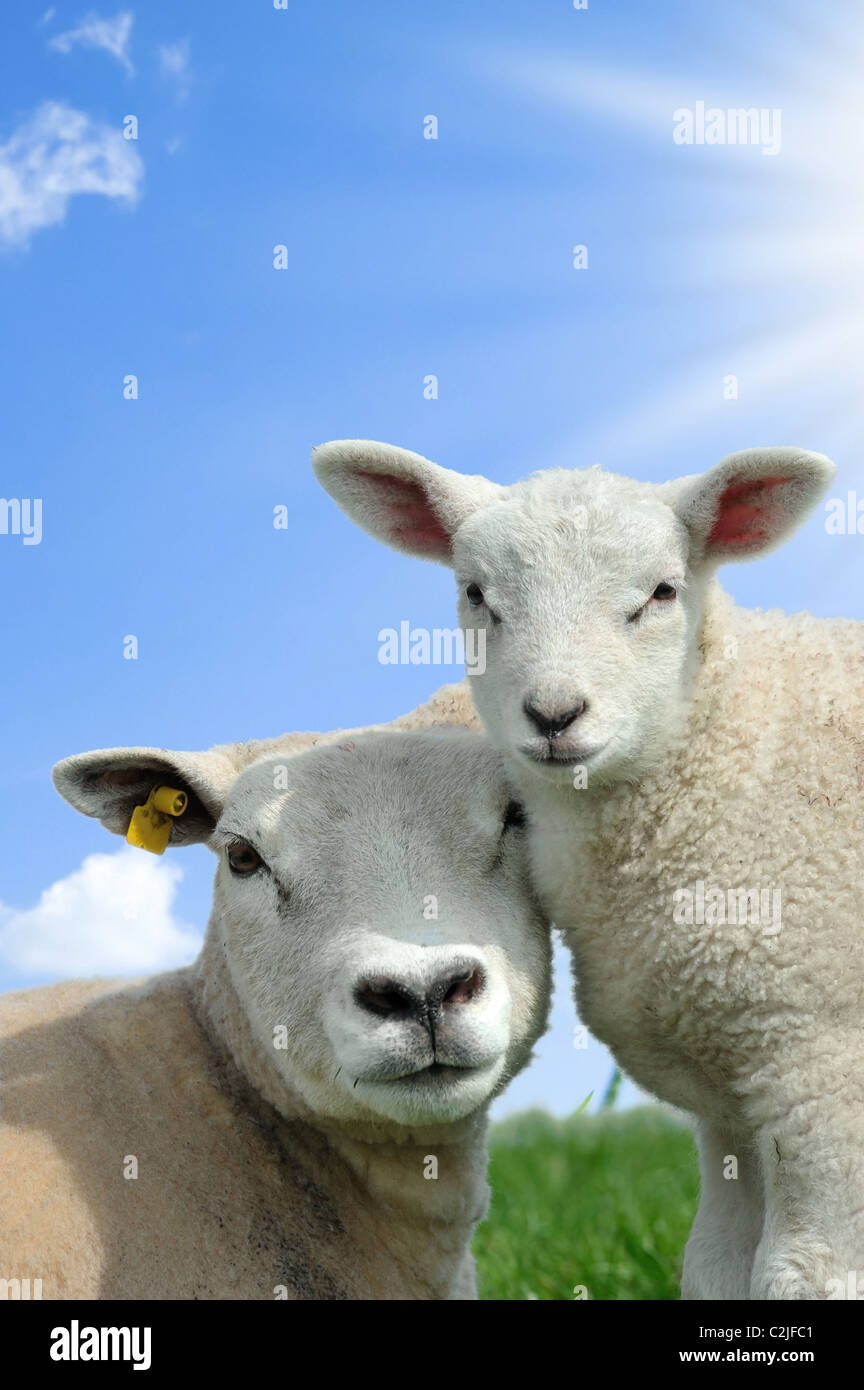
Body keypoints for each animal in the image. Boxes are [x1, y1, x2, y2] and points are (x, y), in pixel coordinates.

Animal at [313, 437, 864, 1301]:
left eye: (663, 592)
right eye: (476, 595)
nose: (554, 714)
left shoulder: (824, 1063)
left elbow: (802, 1274)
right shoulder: (731, 1104)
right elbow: (714, 1265)